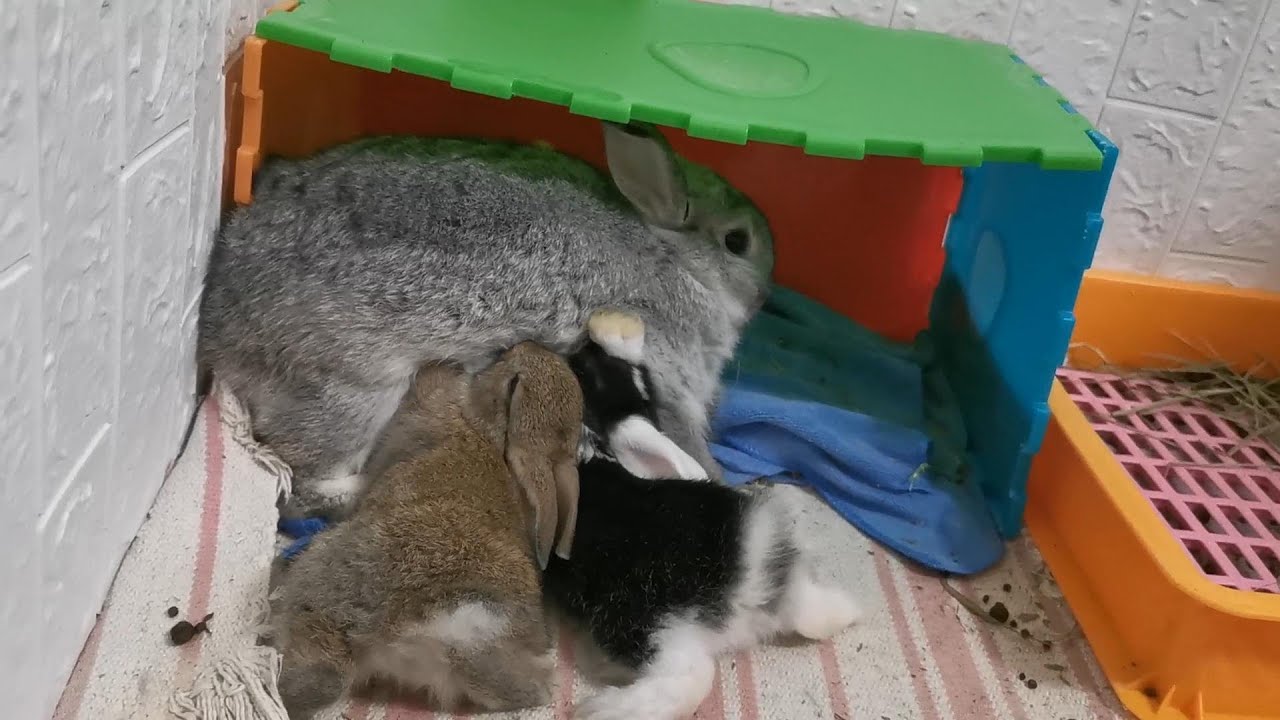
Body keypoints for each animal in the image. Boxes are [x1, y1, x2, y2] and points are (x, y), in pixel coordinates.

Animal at [197, 121, 774, 520]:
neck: (674, 257)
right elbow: (692, 446)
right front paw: (740, 484)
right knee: (307, 488)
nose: (768, 290)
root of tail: (216, 328)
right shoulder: (670, 380)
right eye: (737, 241)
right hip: (353, 394)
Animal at [542, 310, 861, 720]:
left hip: (641, 621)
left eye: (582, 372)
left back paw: (604, 709)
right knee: (806, 610)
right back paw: (848, 609)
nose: (579, 344)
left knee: (692, 675)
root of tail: (744, 582)